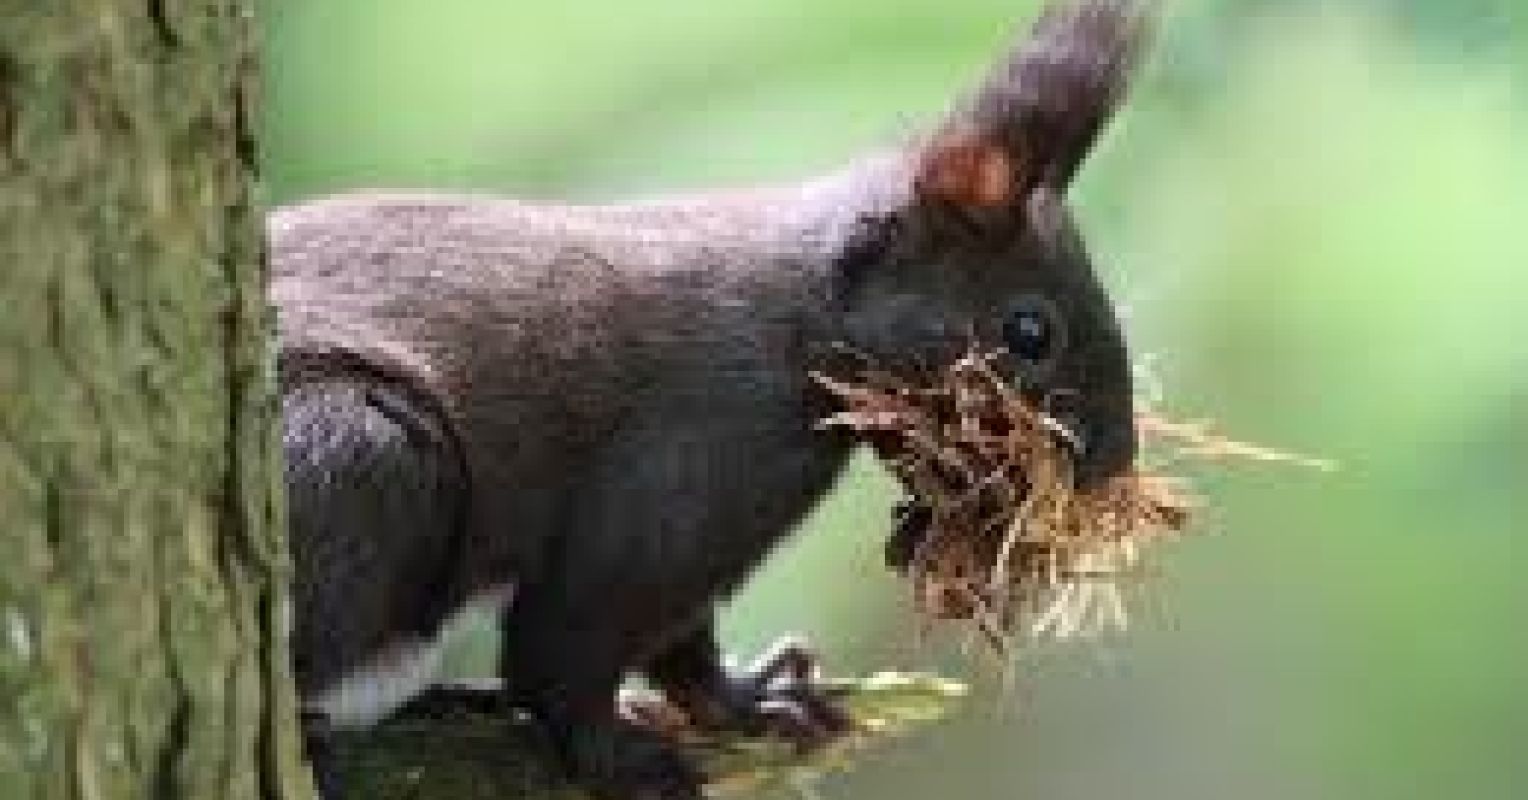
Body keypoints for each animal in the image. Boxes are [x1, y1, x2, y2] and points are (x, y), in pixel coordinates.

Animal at [272, 1, 1154, 798]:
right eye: (1030, 331)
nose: (1113, 465)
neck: (798, 321)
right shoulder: (688, 470)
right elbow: (565, 652)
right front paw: (624, 759)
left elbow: (682, 648)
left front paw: (751, 699)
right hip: (361, 456)